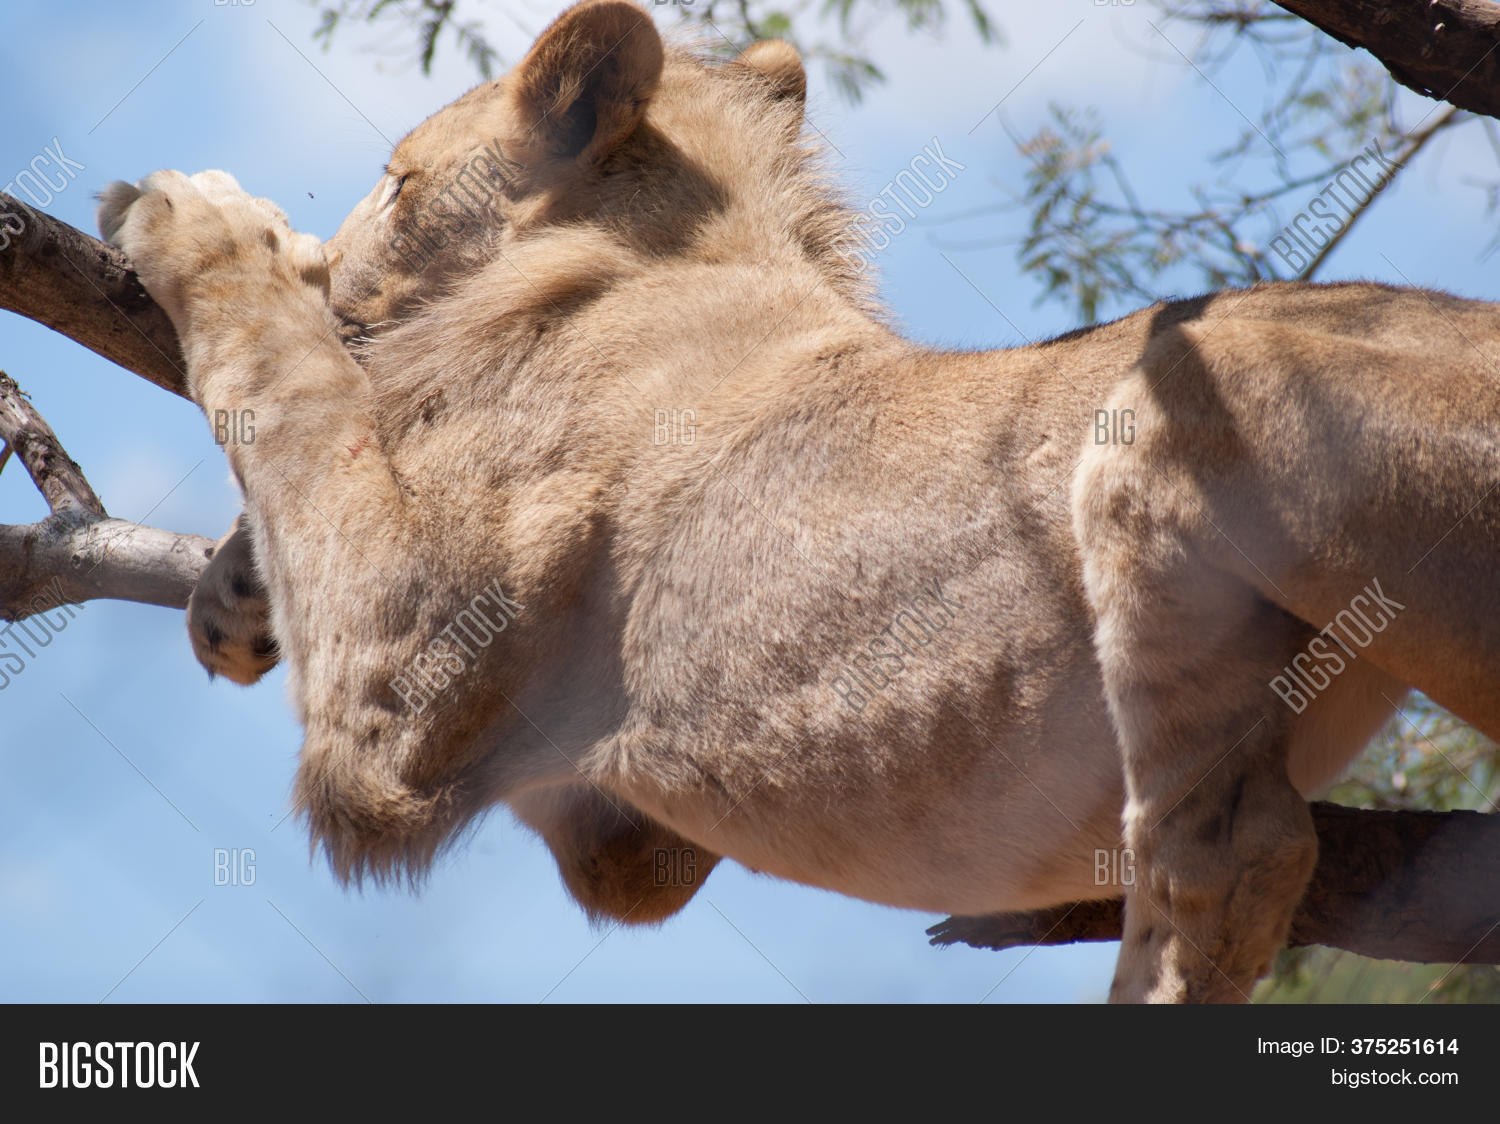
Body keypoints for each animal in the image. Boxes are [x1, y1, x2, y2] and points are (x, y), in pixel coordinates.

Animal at [97, 0, 1500, 1002]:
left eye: (395, 181)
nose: (339, 261)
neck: (644, 259)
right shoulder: (628, 837)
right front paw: (231, 588)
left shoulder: (397, 702)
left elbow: (300, 392)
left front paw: (197, 222)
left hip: (1175, 395)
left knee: (1228, 854)